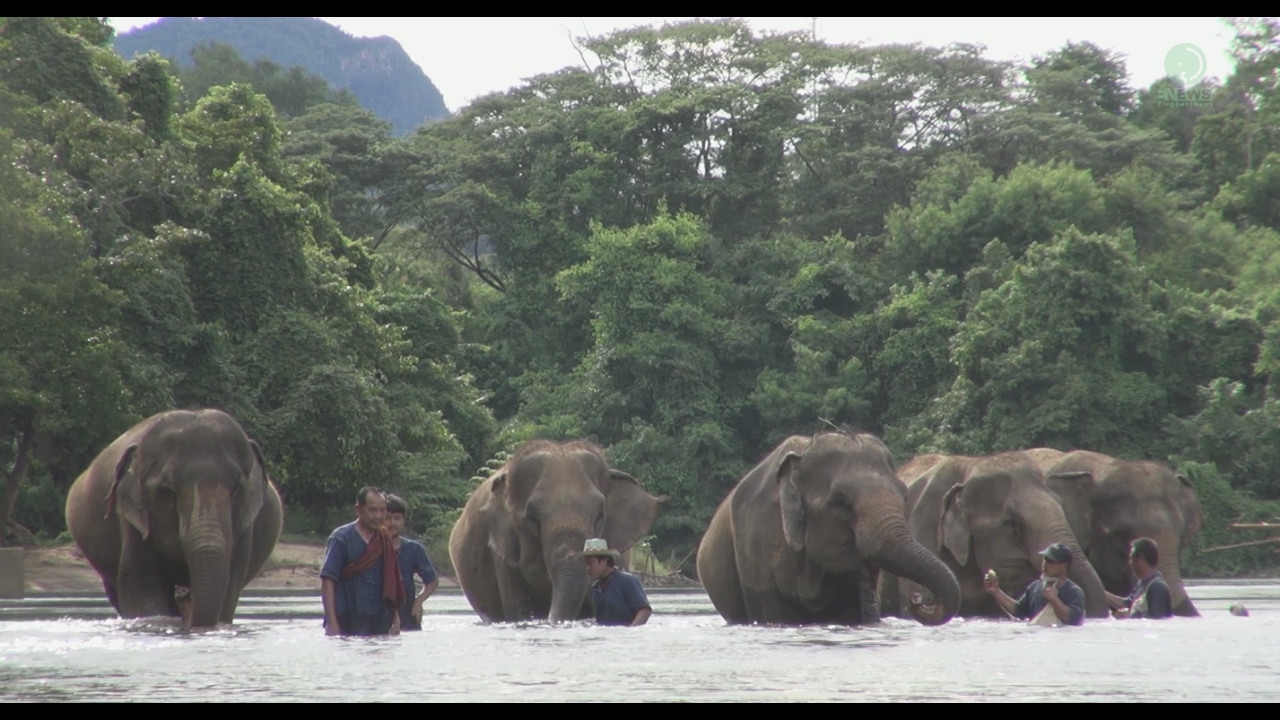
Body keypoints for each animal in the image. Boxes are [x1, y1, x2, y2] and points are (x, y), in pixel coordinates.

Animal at [65, 409, 283, 629]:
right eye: (167, 491)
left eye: (237, 488)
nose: (184, 594)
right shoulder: (132, 520)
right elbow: (142, 586)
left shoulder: (245, 527)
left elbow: (229, 586)